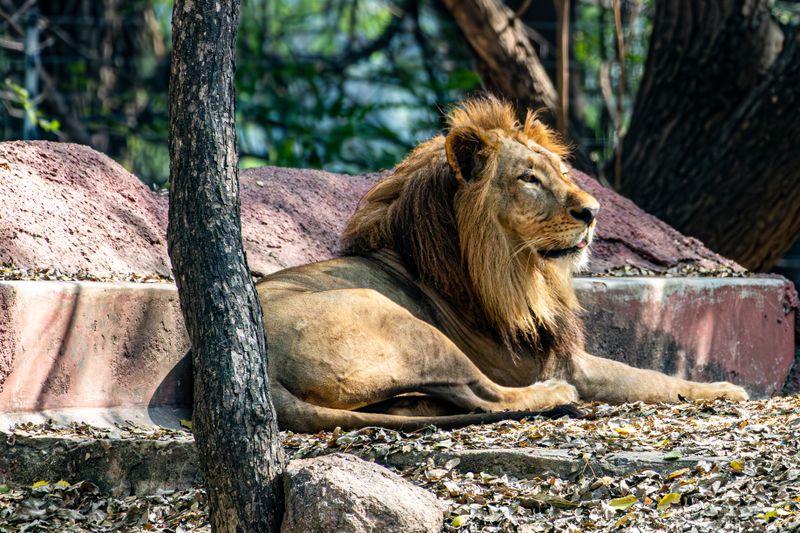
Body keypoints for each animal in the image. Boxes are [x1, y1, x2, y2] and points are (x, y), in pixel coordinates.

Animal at [257, 97, 748, 433]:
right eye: (528, 178)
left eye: (563, 173)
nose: (593, 212)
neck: (519, 272)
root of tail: (265, 377)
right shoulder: (557, 363)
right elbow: (654, 377)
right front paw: (723, 389)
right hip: (400, 322)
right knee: (484, 395)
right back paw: (551, 396)